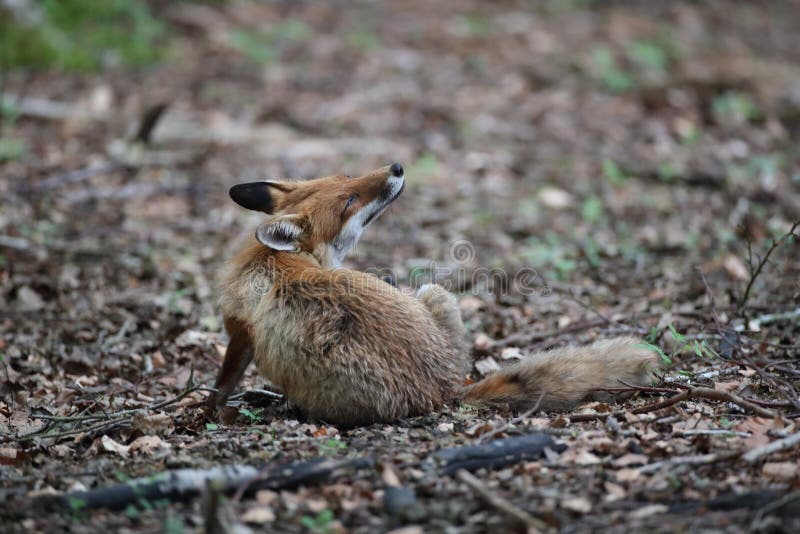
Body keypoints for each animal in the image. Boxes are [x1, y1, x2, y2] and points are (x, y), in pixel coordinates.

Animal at [207, 162, 659, 426]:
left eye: (346, 177)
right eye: (349, 199)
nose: (395, 166)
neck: (278, 258)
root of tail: (444, 391)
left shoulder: (239, 334)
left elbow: (221, 385)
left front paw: (206, 414)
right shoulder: (240, 331)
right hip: (434, 292)